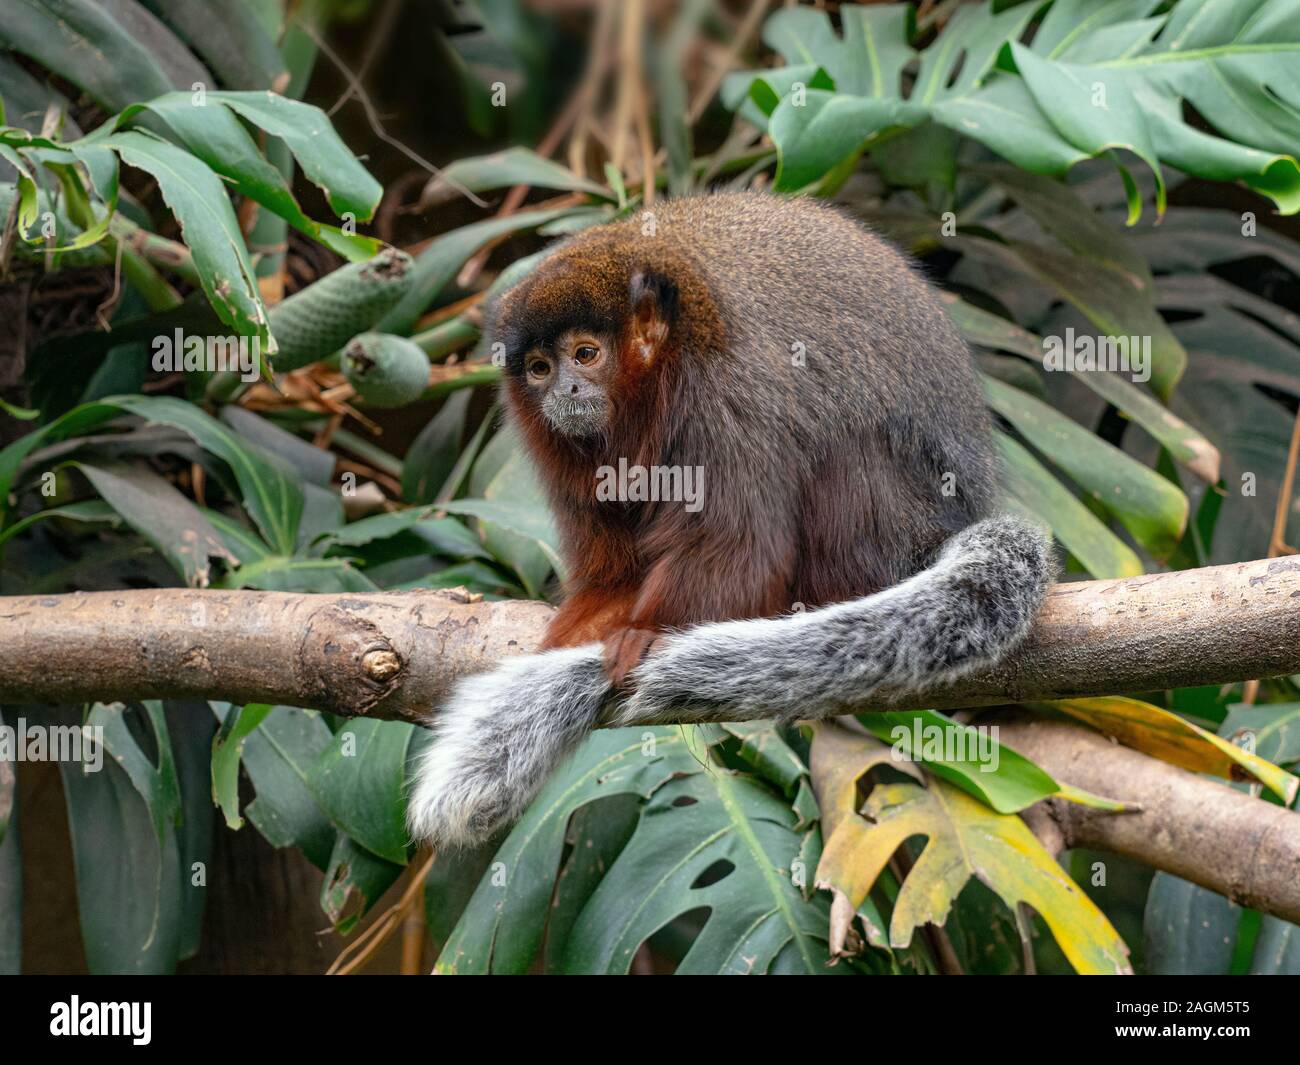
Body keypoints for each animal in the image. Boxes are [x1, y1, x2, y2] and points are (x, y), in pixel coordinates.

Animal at [407, 191, 1054, 849]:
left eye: (586, 355)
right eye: (539, 367)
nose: (564, 390)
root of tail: (945, 526)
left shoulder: (726, 388)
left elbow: (741, 545)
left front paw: (646, 630)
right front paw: (595, 618)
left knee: (847, 447)